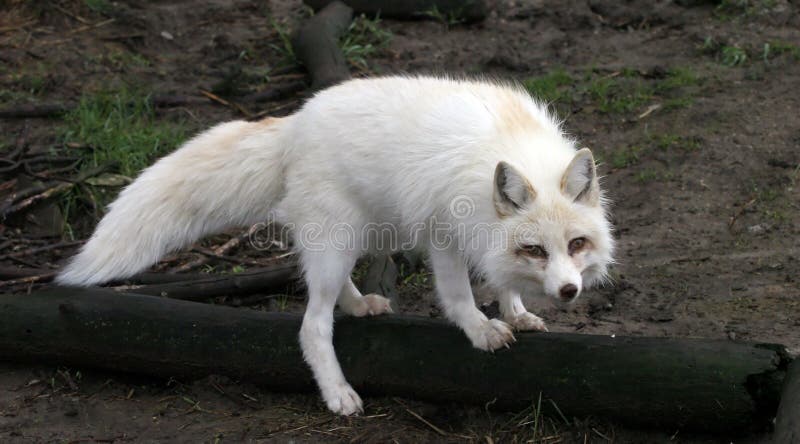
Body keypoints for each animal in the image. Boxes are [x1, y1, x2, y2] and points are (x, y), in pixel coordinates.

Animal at [56, 76, 615, 415]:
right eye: (536, 249)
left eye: (576, 244)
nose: (569, 292)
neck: (510, 146)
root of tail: (297, 119)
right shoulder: (443, 233)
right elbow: (458, 296)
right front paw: (481, 330)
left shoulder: (482, 236)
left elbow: (502, 281)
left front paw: (517, 311)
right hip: (341, 239)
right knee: (311, 326)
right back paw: (339, 394)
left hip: (362, 235)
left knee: (332, 287)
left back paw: (360, 304)